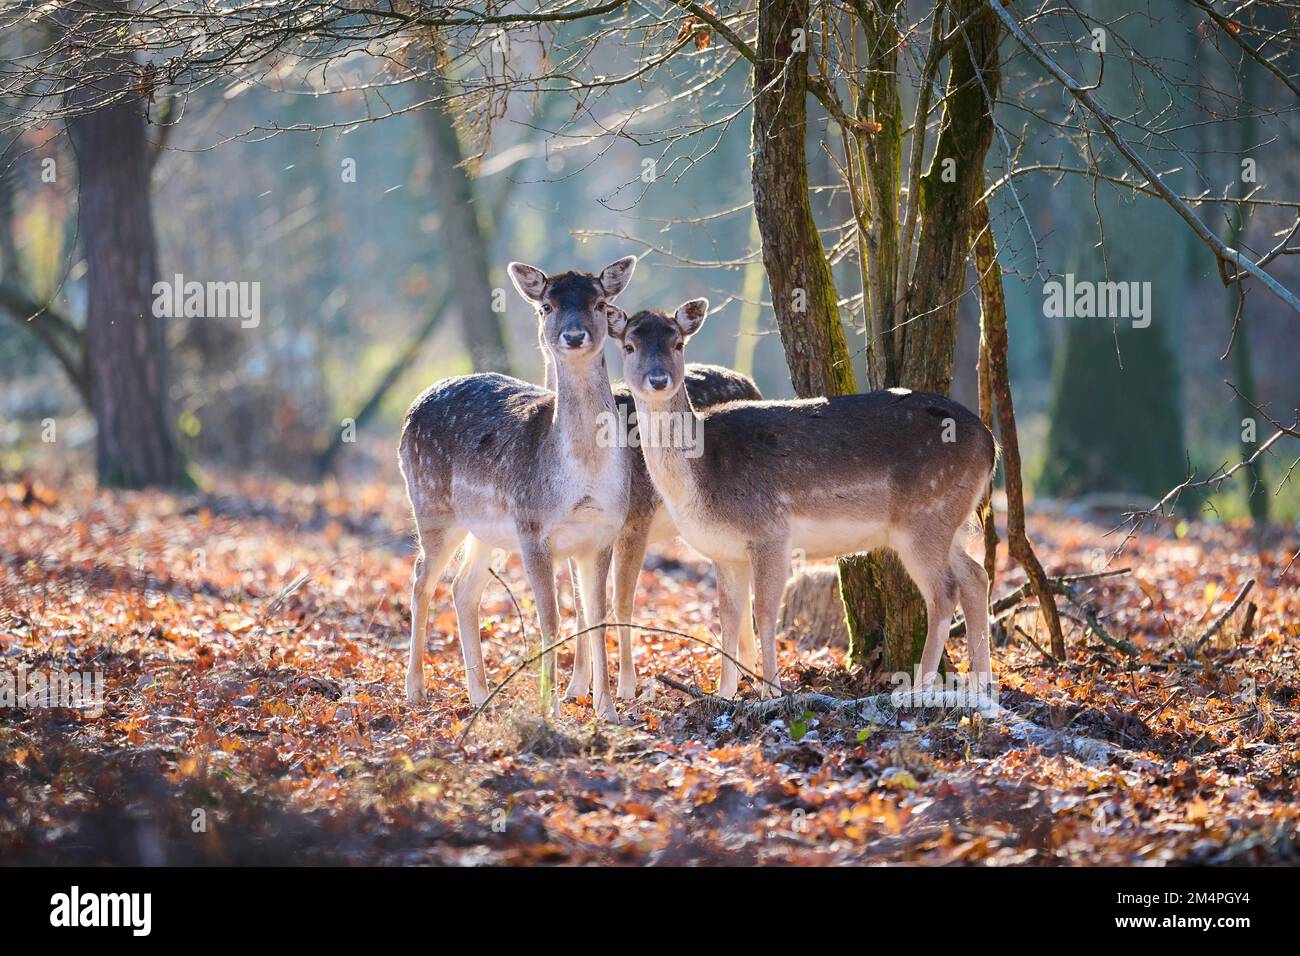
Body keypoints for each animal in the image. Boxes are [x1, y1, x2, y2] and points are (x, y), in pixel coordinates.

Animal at [399, 256, 639, 722]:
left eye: (600, 303)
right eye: (547, 306)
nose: (574, 335)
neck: (582, 480)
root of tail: (411, 409)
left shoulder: (603, 533)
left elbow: (595, 617)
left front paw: (607, 710)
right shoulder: (532, 529)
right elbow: (551, 619)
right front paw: (553, 709)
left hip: (485, 531)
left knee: (462, 589)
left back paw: (478, 695)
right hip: (432, 507)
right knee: (420, 581)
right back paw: (416, 690)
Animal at [610, 299, 997, 703]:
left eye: (678, 343)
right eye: (629, 346)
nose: (658, 380)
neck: (699, 479)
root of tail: (991, 445)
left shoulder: (770, 532)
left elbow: (765, 614)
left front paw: (771, 692)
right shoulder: (725, 552)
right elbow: (729, 617)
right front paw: (725, 693)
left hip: (923, 519)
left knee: (944, 593)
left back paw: (917, 690)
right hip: (949, 520)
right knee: (975, 576)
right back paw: (981, 685)